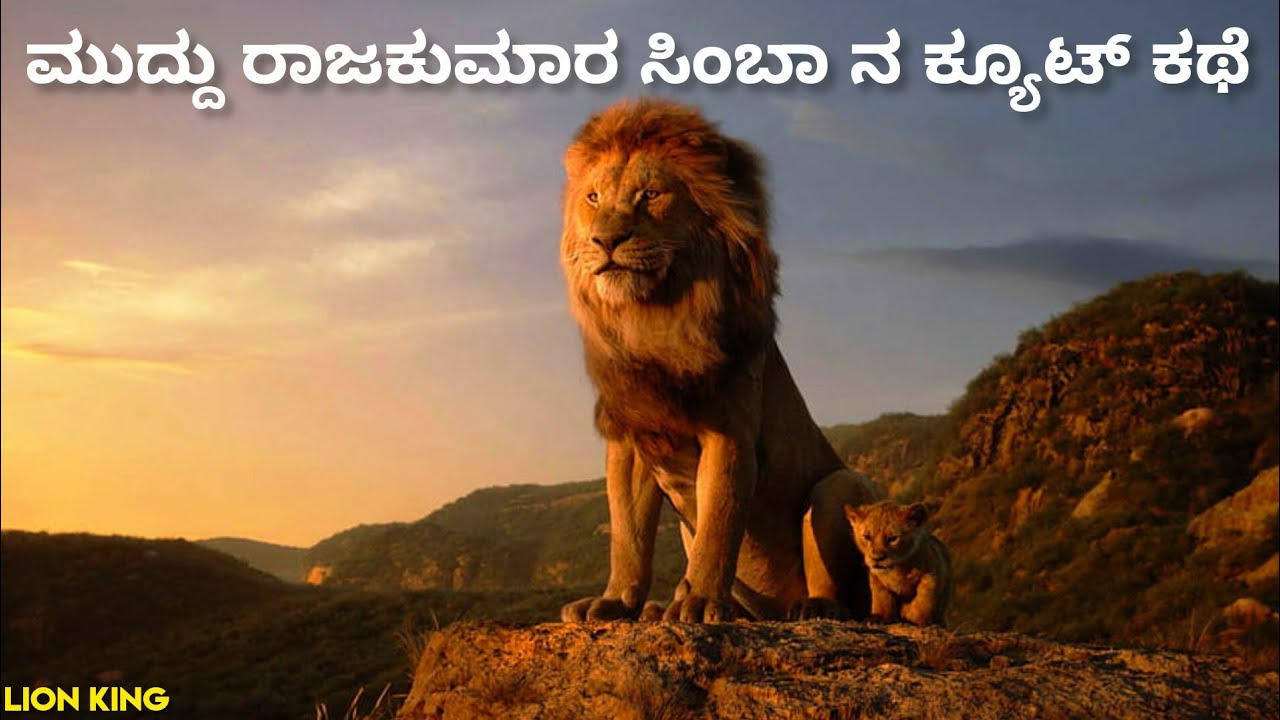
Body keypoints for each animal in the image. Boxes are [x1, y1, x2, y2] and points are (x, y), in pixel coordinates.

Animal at [557, 98, 881, 623]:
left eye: (650, 194)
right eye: (593, 198)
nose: (606, 240)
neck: (653, 319)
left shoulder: (729, 431)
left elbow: (719, 524)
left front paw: (702, 602)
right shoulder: (631, 437)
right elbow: (628, 535)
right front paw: (616, 601)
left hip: (838, 485)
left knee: (843, 591)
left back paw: (811, 608)